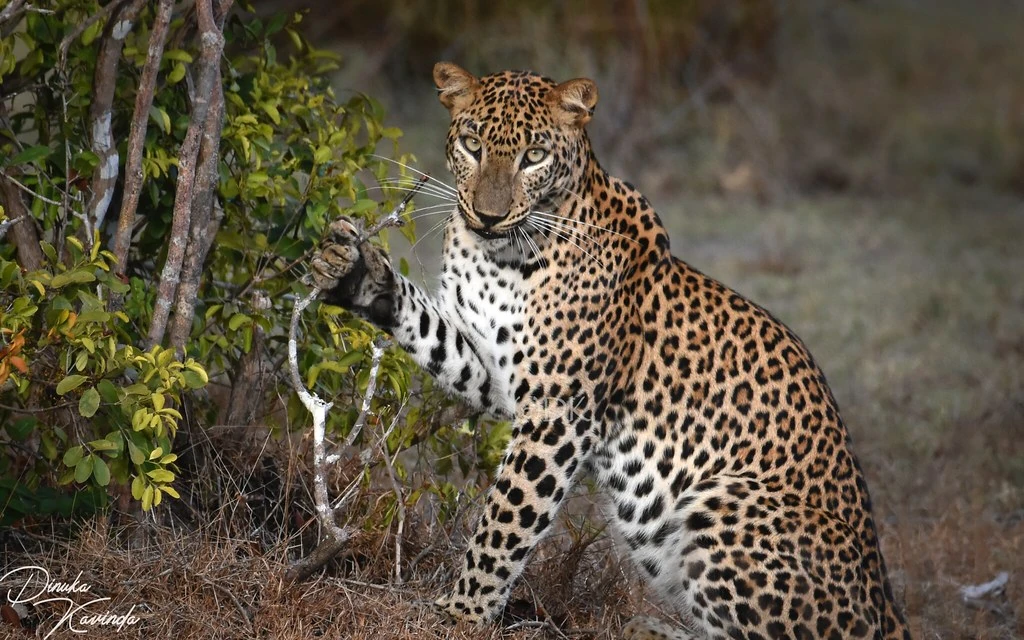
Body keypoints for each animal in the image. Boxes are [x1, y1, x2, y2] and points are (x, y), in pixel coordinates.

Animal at [310, 62, 912, 639]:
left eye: (533, 156)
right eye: (473, 145)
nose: (487, 215)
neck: (497, 257)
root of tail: (888, 608)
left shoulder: (557, 409)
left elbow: (504, 522)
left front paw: (461, 614)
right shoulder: (492, 370)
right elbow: (424, 325)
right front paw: (354, 272)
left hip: (723, 501)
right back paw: (643, 627)